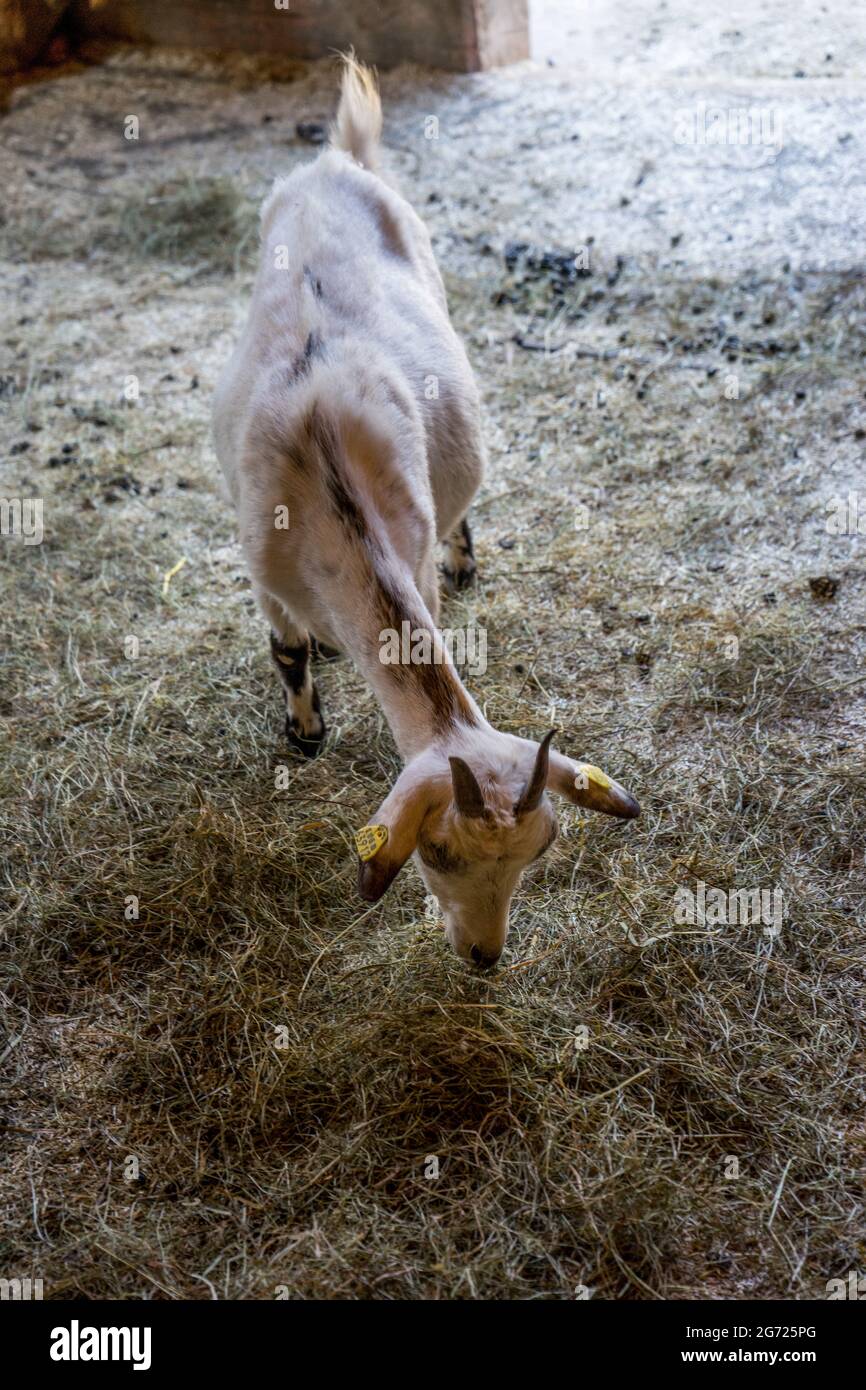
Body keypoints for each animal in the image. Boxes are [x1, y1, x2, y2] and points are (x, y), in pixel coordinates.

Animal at [212, 56, 639, 966]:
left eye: (540, 848)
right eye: (435, 852)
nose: (484, 958)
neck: (325, 482)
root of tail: (338, 159)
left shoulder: (409, 556)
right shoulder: (262, 567)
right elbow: (286, 649)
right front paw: (305, 734)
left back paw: (465, 551)